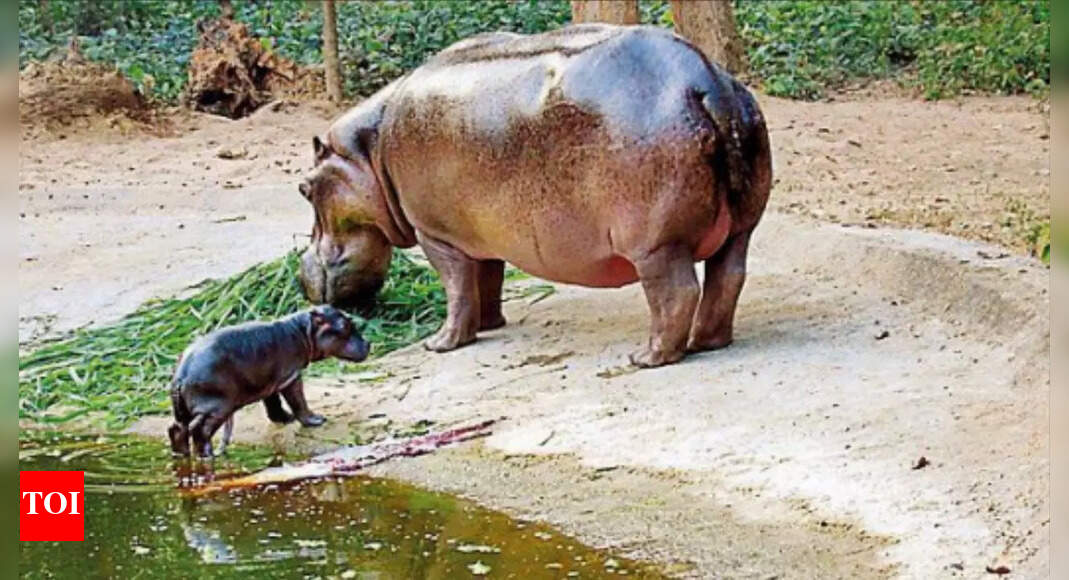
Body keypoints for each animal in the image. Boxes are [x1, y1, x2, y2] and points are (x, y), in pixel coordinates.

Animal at [298, 24, 771, 367]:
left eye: (304, 188)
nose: (303, 274)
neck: (368, 149)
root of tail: (707, 82)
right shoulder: (479, 234)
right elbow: (485, 279)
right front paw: (490, 325)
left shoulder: (436, 234)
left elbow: (456, 287)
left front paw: (441, 344)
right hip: (741, 227)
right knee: (728, 278)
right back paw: (708, 342)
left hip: (656, 245)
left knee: (677, 293)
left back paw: (647, 358)